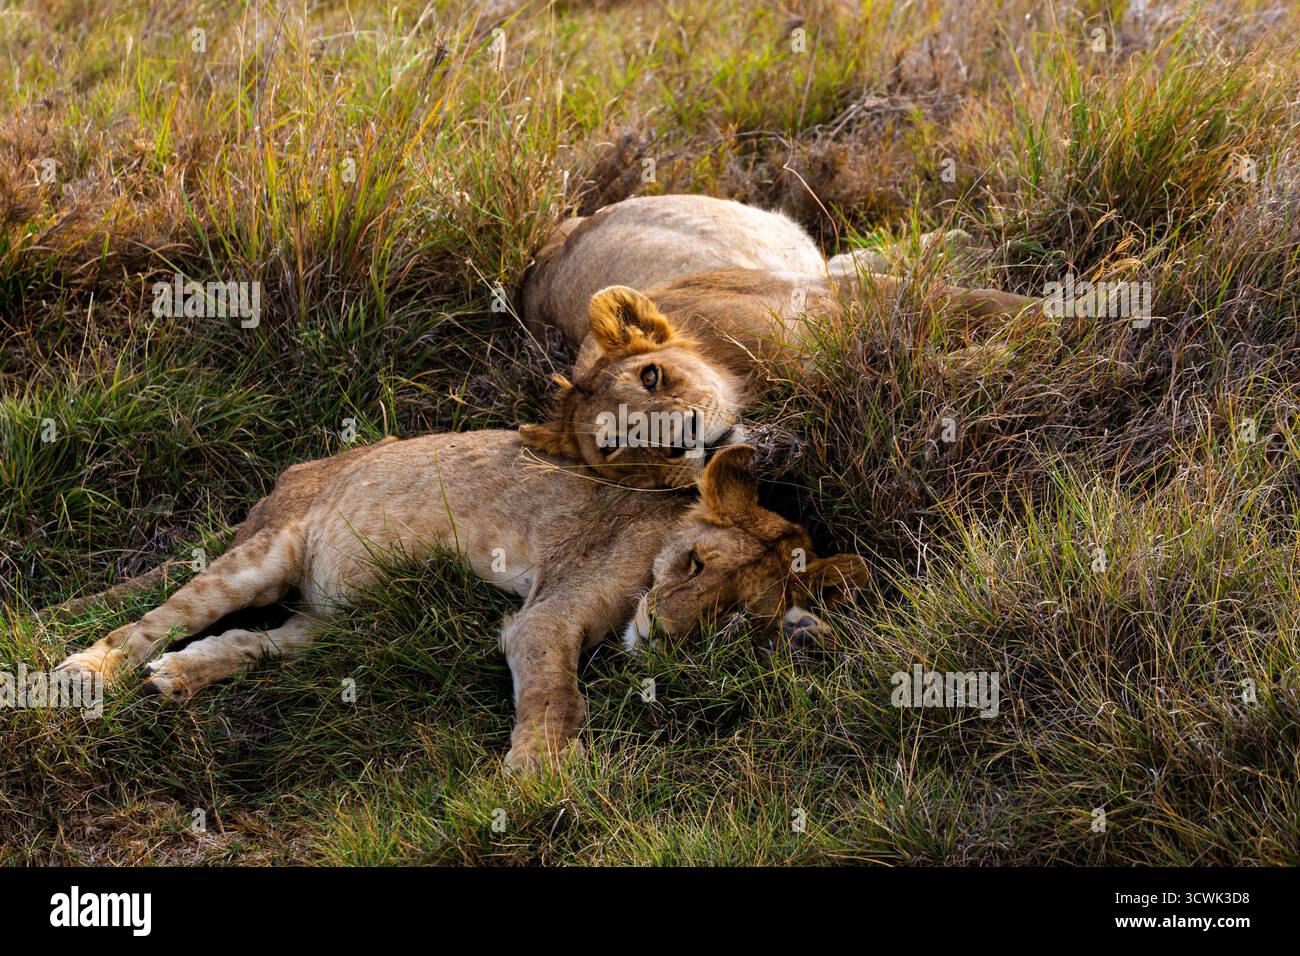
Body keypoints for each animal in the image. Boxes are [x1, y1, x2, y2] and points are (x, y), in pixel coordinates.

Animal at [54, 432, 867, 770]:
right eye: (693, 563)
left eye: (734, 616)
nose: (661, 636)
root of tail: (288, 476)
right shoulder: (546, 614)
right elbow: (556, 696)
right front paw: (538, 777)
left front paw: (805, 632)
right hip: (264, 553)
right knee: (153, 620)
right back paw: (86, 674)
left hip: (337, 620)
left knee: (257, 641)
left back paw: (181, 676)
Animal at [518, 194, 1040, 487]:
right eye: (613, 448)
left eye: (651, 376)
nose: (681, 441)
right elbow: (918, 372)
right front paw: (996, 357)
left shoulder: (824, 297)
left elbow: (980, 306)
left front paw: (1051, 321)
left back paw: (978, 240)